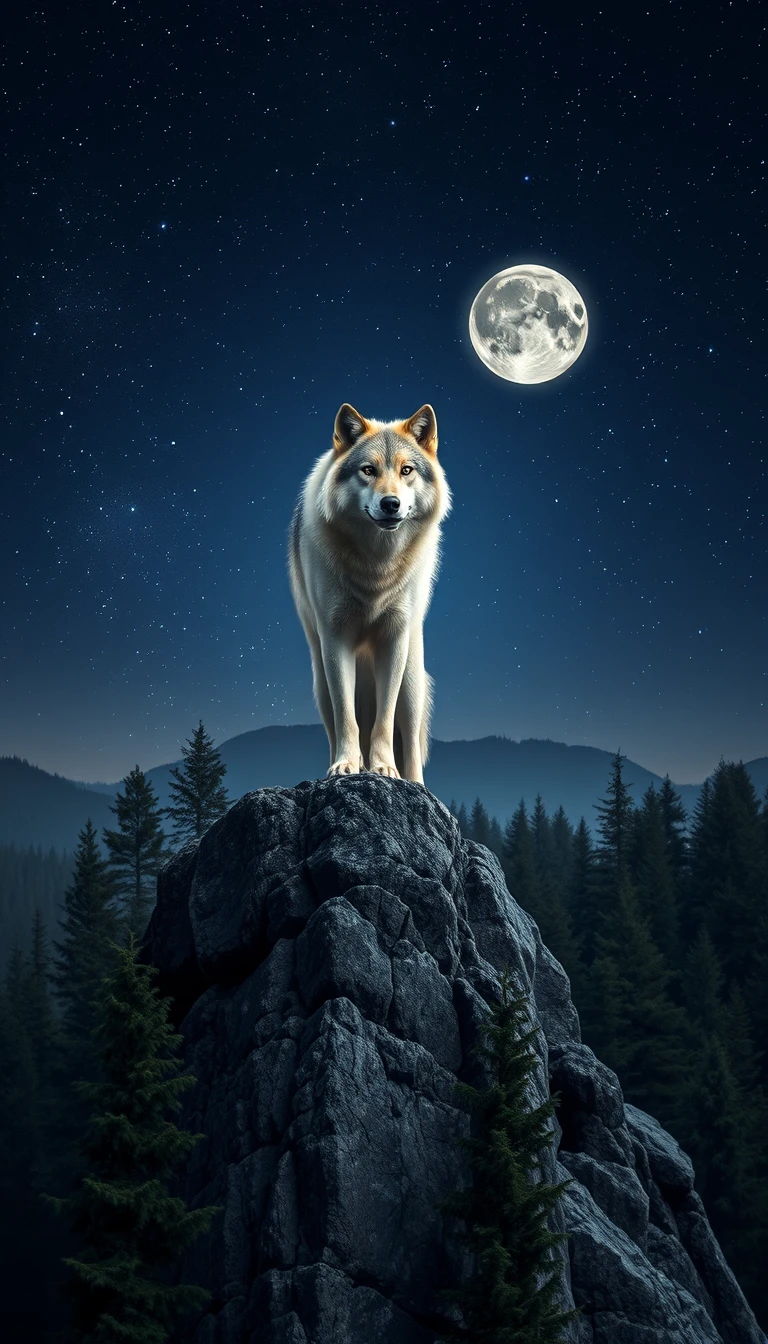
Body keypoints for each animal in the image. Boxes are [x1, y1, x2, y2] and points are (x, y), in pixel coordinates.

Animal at [288, 402, 451, 785]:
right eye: (368, 470)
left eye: (406, 470)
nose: (390, 503)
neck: (376, 567)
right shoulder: (335, 638)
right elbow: (347, 716)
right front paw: (346, 765)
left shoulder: (393, 640)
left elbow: (383, 720)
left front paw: (383, 768)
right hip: (320, 682)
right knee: (336, 722)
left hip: (412, 683)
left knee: (410, 743)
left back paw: (415, 784)